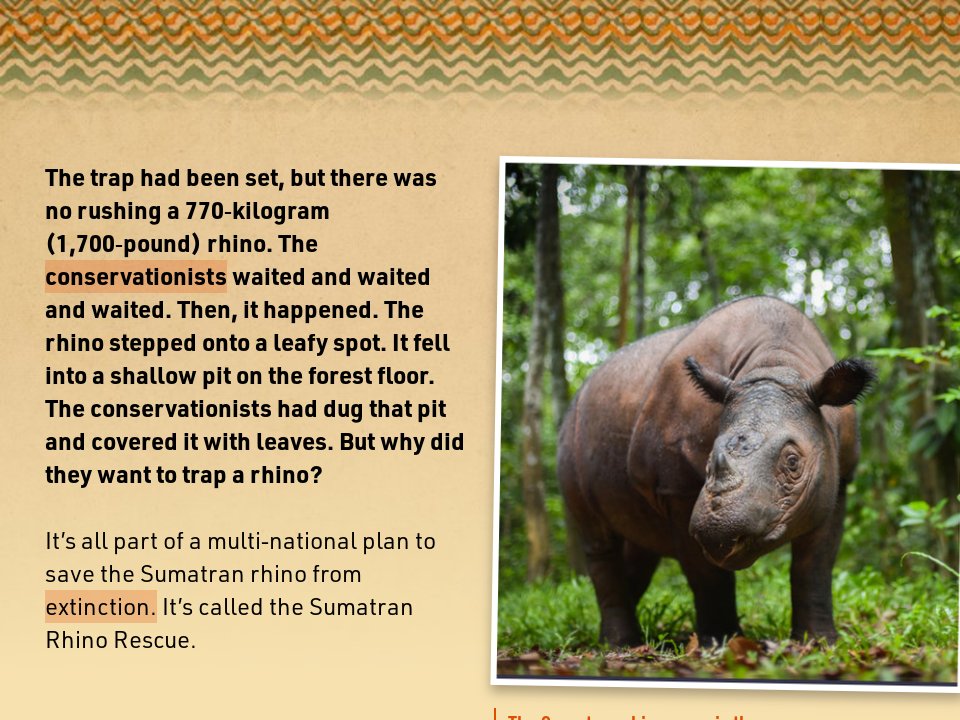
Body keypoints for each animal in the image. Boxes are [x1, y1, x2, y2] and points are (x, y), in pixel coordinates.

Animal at [558, 296, 874, 645]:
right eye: (709, 460)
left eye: (793, 462)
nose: (723, 527)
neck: (776, 363)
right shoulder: (676, 487)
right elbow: (706, 574)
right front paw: (722, 642)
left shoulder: (839, 478)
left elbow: (815, 566)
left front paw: (819, 641)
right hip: (571, 437)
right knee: (598, 539)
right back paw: (620, 643)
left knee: (640, 544)